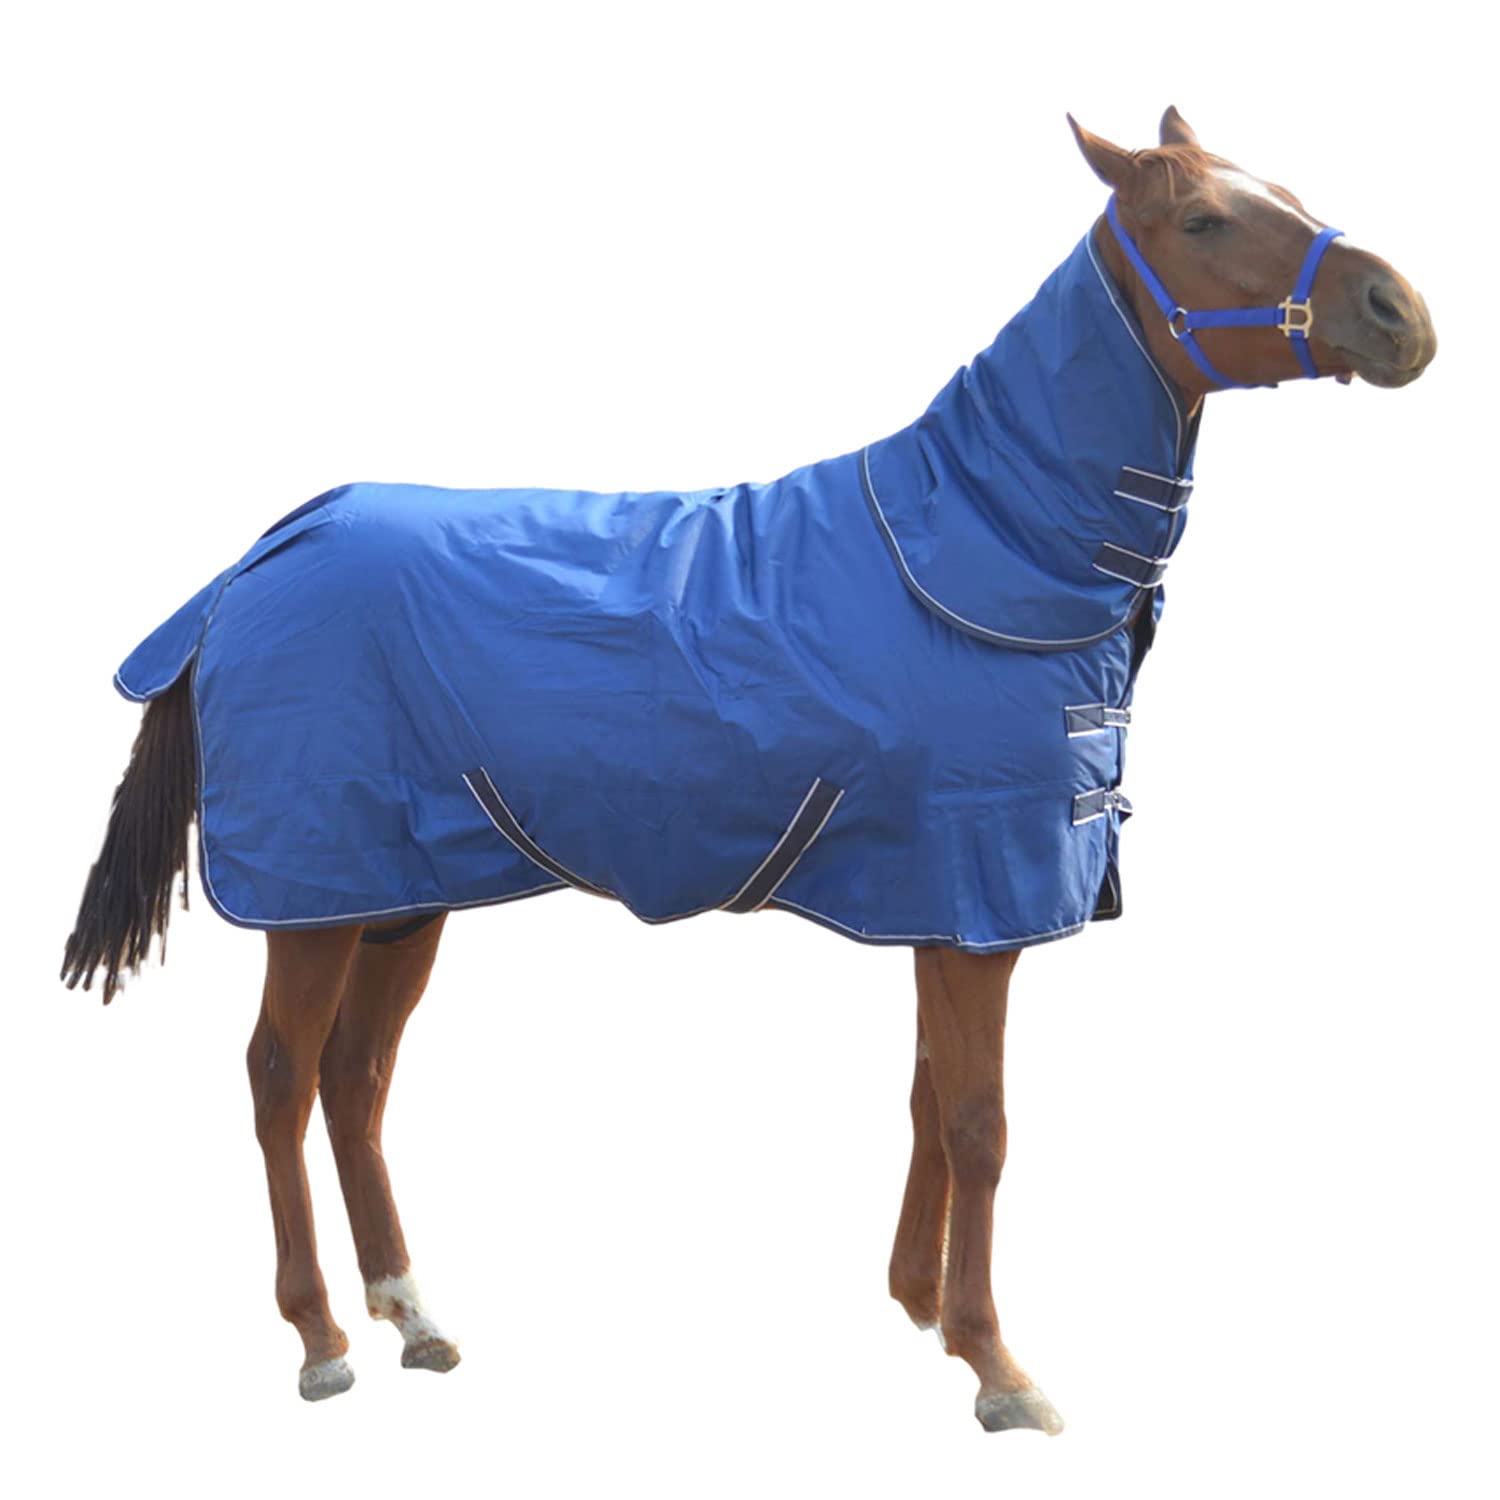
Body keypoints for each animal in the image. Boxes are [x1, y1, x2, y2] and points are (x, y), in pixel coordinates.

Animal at [60, 108, 1436, 1431]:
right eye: (1204, 220)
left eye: (1289, 194)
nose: (1400, 313)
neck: (981, 548)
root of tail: (256, 561)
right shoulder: (980, 894)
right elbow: (981, 1124)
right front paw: (996, 1365)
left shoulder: (939, 903)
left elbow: (930, 1102)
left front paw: (923, 1309)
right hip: (315, 896)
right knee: (279, 1079)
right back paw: (323, 1340)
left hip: (398, 894)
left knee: (355, 1079)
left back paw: (412, 1314)